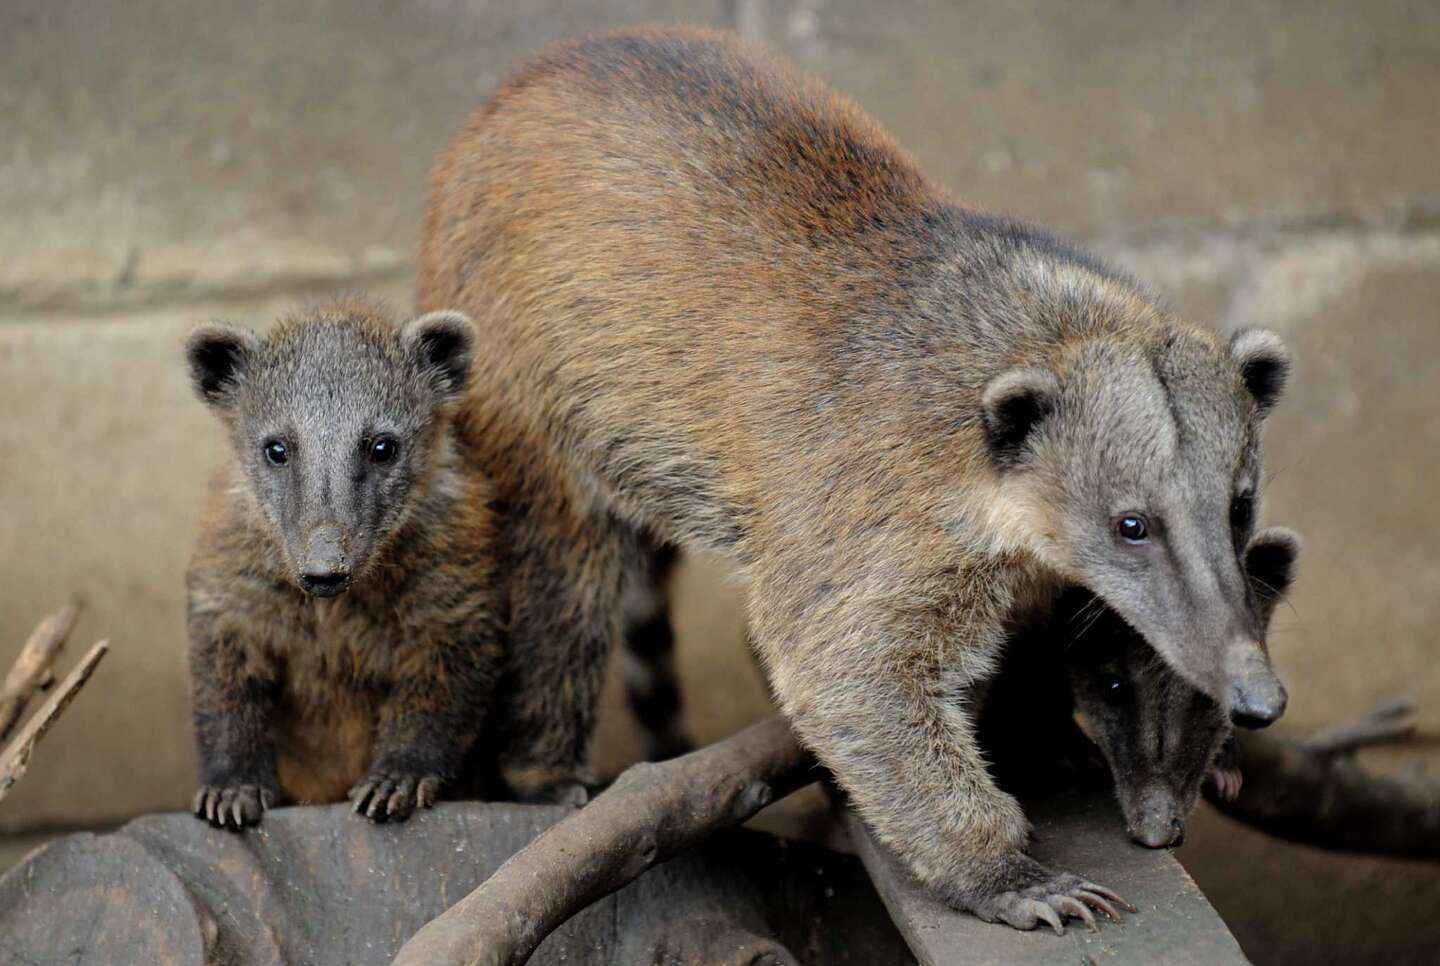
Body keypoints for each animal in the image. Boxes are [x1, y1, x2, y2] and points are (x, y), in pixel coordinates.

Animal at [419, 27, 1290, 929]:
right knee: (566, 569)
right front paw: (990, 862)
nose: (1259, 700)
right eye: (1132, 526)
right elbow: (848, 678)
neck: (1054, 330)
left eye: (1238, 509)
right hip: (517, 360)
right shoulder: (872, 499)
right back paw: (543, 763)